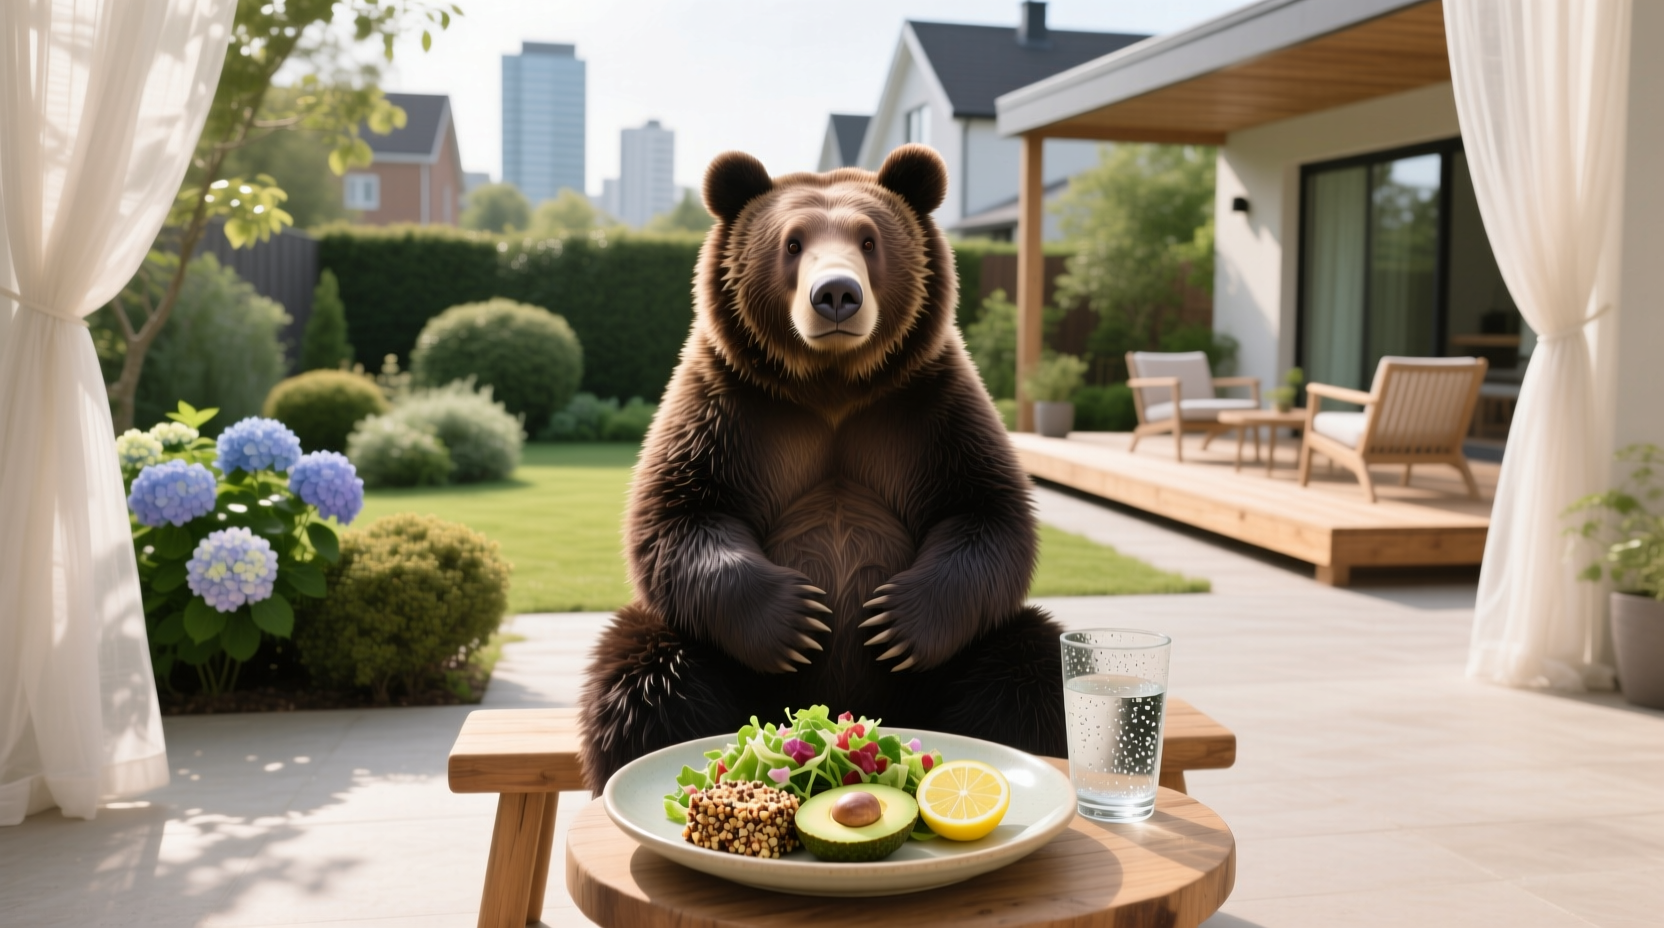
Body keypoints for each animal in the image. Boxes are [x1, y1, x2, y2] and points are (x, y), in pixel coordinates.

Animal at [577, 144, 1067, 790]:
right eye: (792, 242)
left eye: (869, 239)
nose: (836, 293)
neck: (830, 386)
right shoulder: (726, 406)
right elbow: (679, 513)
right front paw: (799, 619)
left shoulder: (929, 406)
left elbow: (987, 511)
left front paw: (892, 621)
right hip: (708, 659)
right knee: (649, 675)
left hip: (962, 662)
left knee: (1027, 668)